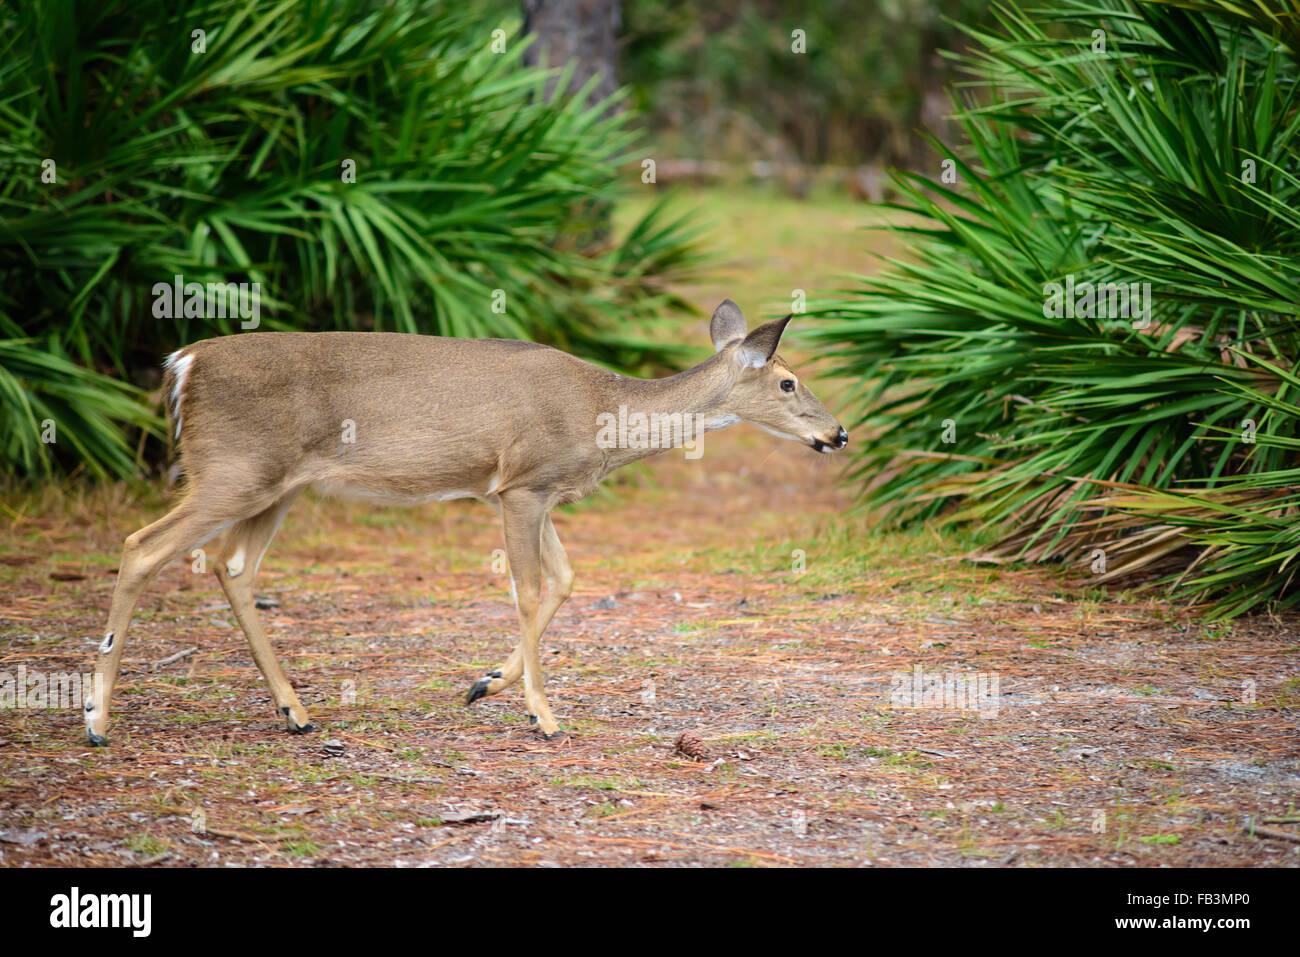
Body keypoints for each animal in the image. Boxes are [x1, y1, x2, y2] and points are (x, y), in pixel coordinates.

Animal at [84, 299, 847, 746]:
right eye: (788, 382)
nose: (838, 433)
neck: (604, 413)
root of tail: (184, 363)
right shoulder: (524, 483)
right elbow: (531, 590)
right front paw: (542, 714)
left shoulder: (528, 490)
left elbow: (566, 580)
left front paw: (485, 684)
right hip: (232, 468)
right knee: (143, 546)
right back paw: (96, 719)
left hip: (274, 485)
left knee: (233, 567)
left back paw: (294, 711)